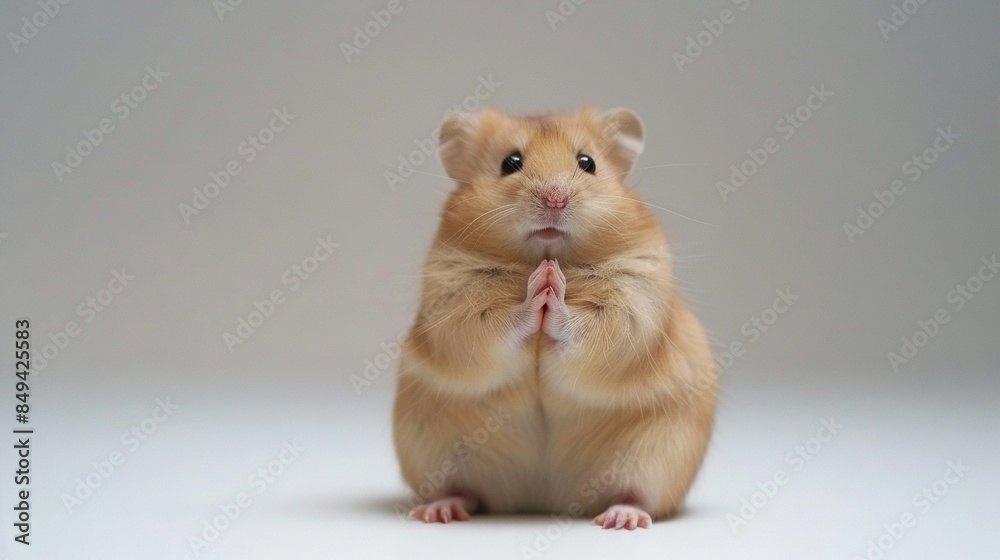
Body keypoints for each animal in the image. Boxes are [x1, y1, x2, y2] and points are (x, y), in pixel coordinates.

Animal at [392, 107, 717, 530]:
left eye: (588, 163)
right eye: (510, 163)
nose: (555, 199)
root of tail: (545, 498)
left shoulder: (635, 299)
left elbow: (591, 326)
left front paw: (551, 283)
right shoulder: (451, 303)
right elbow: (496, 324)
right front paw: (542, 284)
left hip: (660, 455)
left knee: (638, 496)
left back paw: (621, 518)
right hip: (433, 451)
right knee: (465, 492)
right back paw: (439, 510)